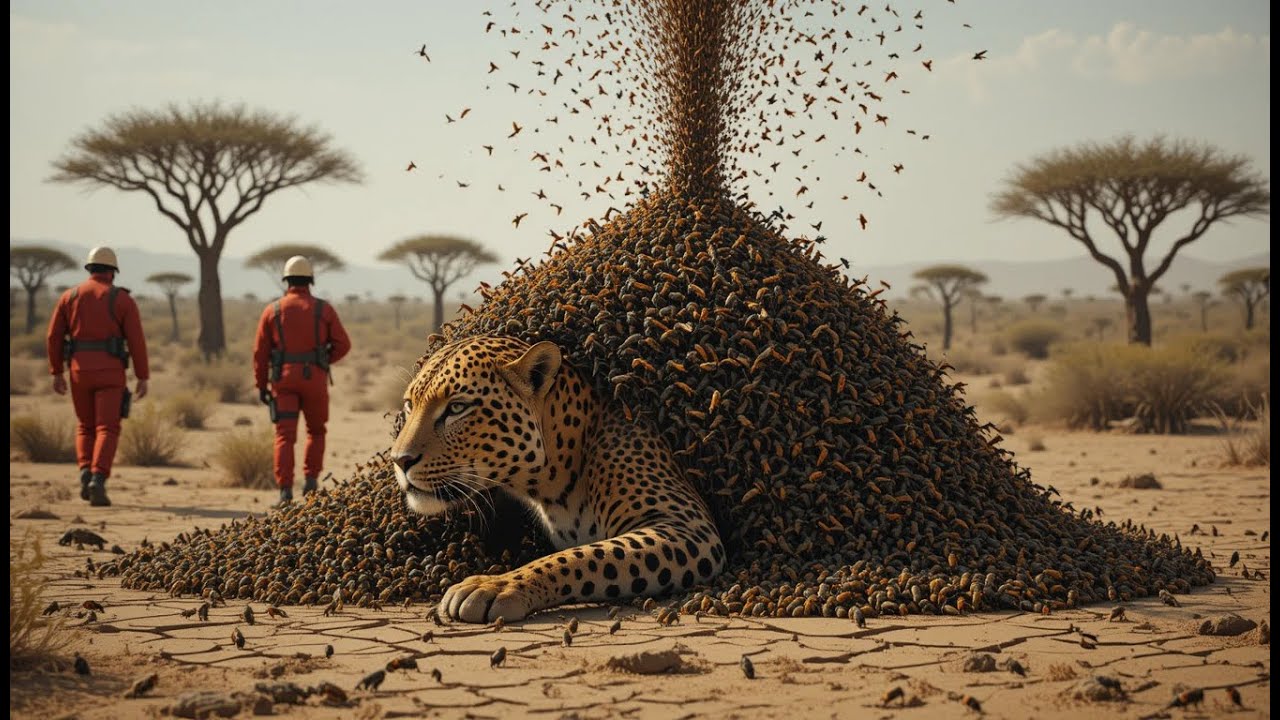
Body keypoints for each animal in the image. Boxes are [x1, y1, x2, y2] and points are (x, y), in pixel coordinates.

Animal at [391, 335, 724, 623]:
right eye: (409, 404)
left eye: (457, 408)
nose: (399, 460)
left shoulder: (685, 526)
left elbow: (584, 556)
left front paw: (495, 586)